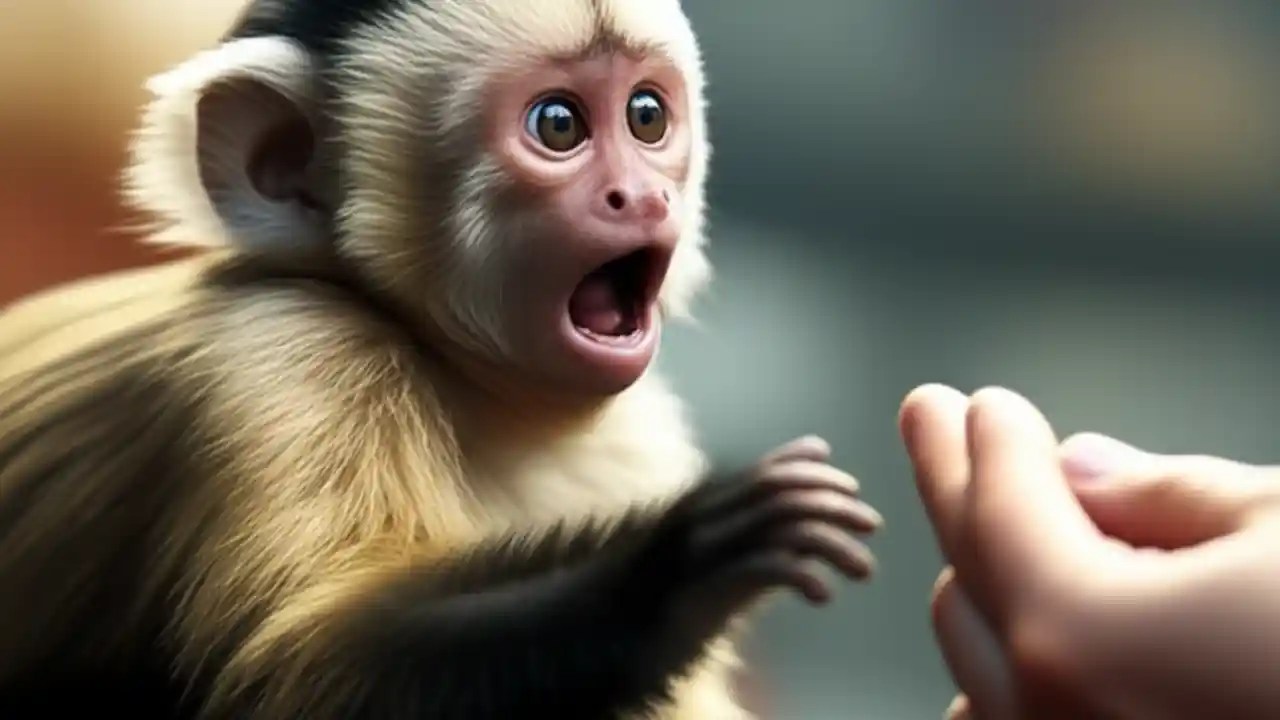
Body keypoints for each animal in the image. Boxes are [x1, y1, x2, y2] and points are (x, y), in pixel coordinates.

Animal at [0, 1, 883, 718]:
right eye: (559, 125)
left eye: (645, 116)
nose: (641, 196)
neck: (480, 392)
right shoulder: (290, 352)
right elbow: (294, 668)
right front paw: (676, 567)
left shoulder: (643, 439)